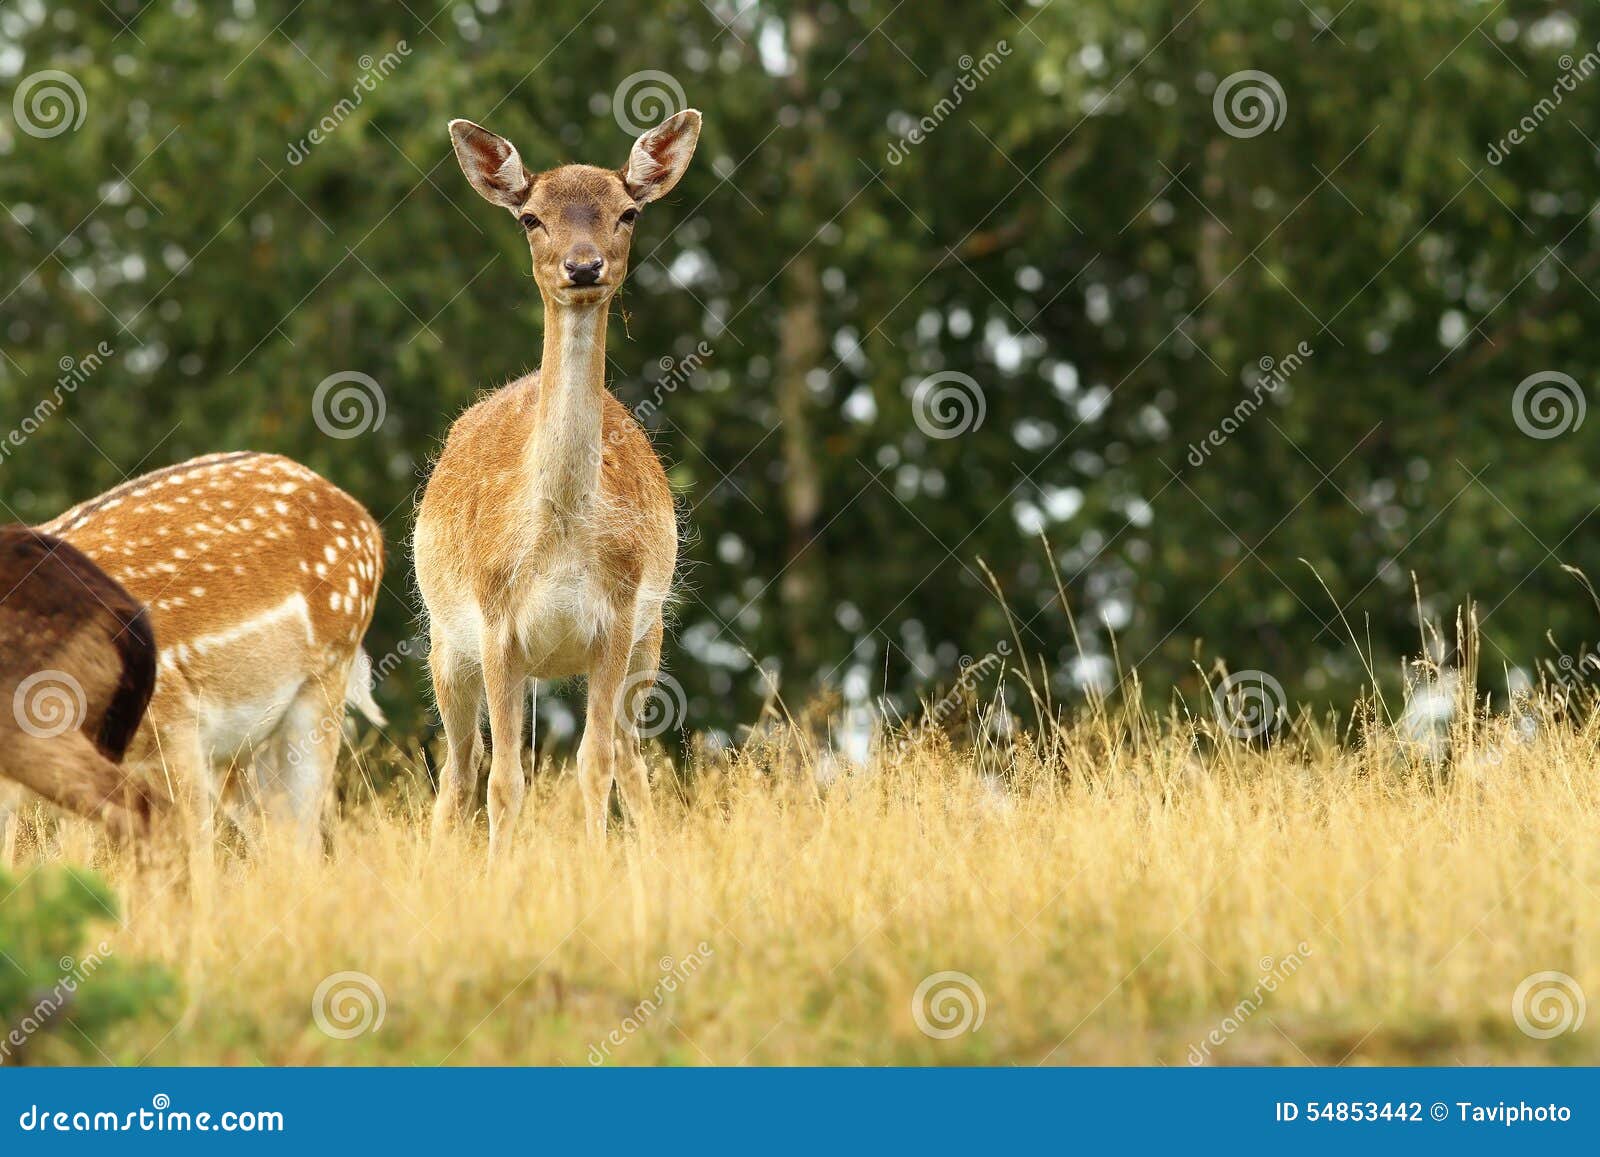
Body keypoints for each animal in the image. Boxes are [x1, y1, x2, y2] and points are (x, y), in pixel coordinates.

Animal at [415, 109, 701, 853]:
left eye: (627, 211)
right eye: (531, 217)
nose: (583, 265)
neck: (562, 540)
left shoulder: (619, 619)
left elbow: (593, 763)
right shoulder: (495, 623)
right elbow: (504, 780)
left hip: (652, 639)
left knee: (630, 756)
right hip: (443, 643)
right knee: (459, 768)